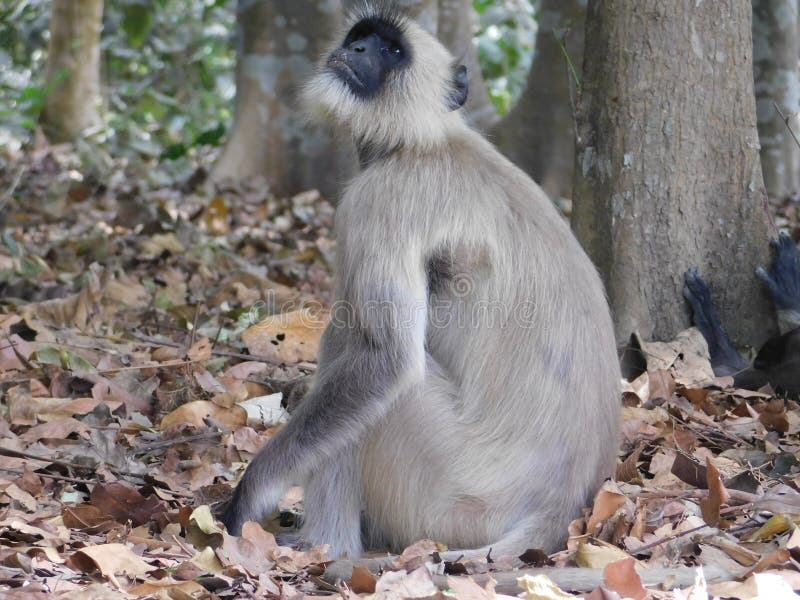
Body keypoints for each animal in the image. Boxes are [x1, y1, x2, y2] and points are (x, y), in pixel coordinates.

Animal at [221, 2, 621, 559]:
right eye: (362, 37)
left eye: (391, 50)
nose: (356, 50)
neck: (422, 141)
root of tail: (555, 511)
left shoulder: (378, 200)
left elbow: (387, 361)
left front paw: (252, 493)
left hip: (450, 486)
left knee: (357, 352)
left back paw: (328, 549)